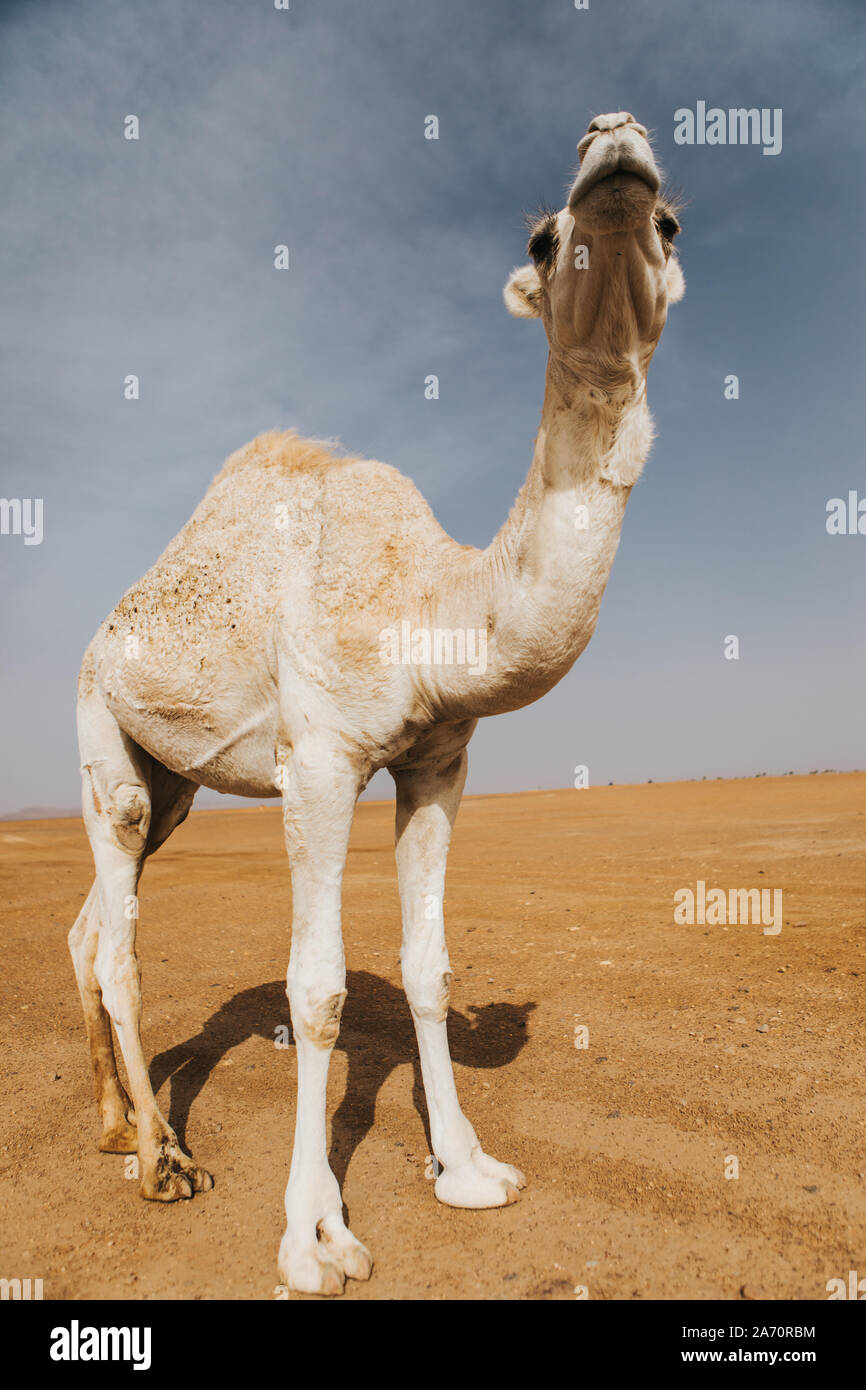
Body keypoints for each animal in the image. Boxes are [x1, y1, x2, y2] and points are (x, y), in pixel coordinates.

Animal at [69, 112, 685, 1295]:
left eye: (671, 221)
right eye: (541, 237)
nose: (615, 144)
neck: (429, 606)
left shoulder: (438, 759)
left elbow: (428, 971)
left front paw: (470, 1169)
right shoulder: (319, 759)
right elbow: (316, 994)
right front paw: (314, 1236)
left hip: (169, 785)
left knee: (88, 926)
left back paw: (118, 1126)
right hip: (97, 734)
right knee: (117, 937)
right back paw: (165, 1162)